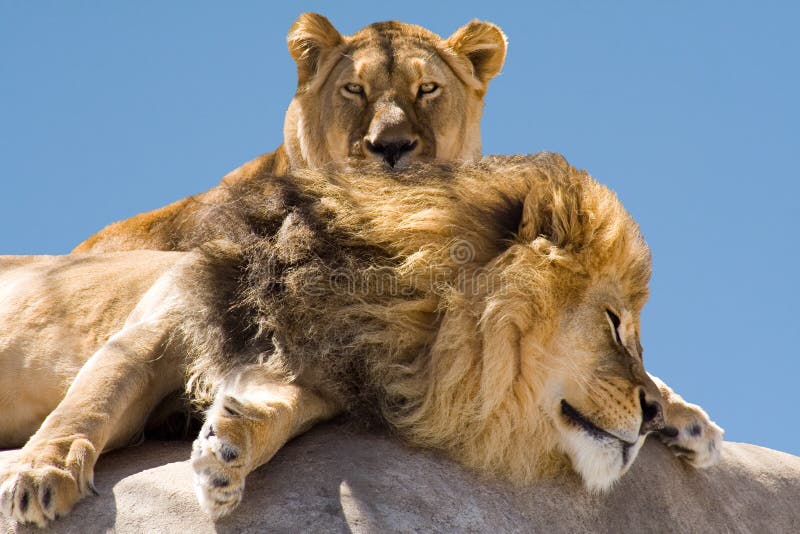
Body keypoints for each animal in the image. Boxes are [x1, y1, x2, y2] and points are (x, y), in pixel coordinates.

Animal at [0, 154, 722, 527]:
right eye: (614, 323)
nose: (647, 413)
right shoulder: (158, 326)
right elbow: (86, 408)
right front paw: (38, 476)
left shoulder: (330, 381)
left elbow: (283, 417)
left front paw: (230, 451)